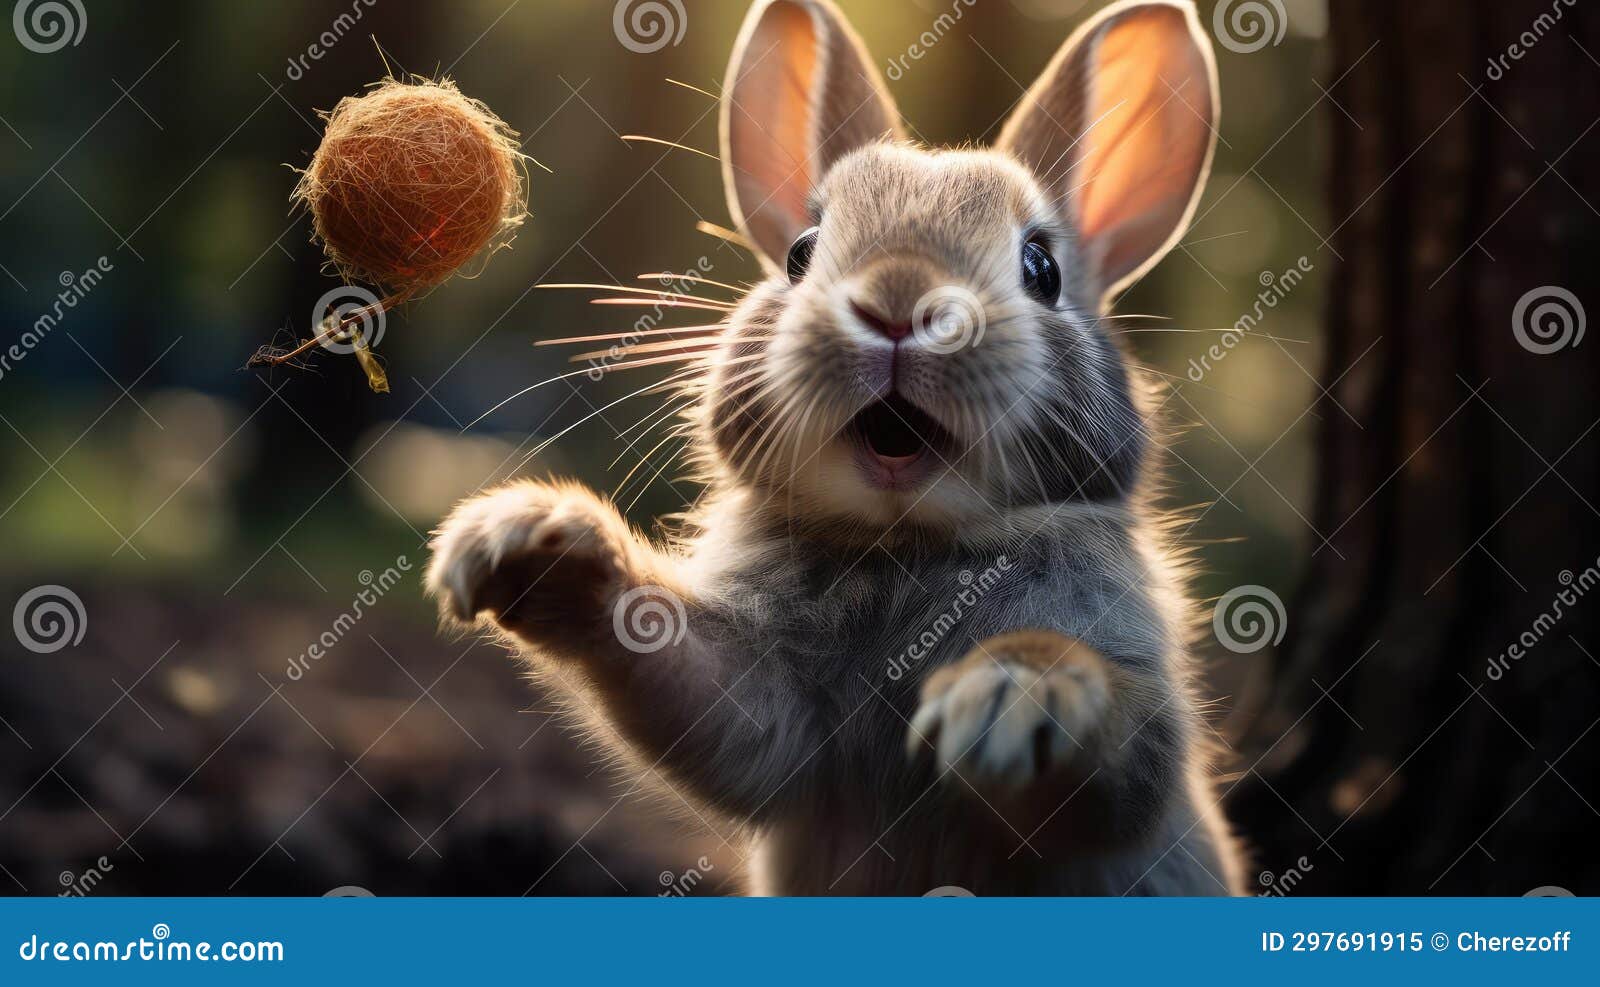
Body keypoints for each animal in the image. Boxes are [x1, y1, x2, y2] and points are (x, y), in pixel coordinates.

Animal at [428, 0, 1245, 895]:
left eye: (1042, 269)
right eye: (800, 252)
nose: (898, 301)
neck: (905, 546)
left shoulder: (1133, 714)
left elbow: (1124, 757)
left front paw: (1013, 694)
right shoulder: (771, 709)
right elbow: (706, 701)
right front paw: (521, 541)